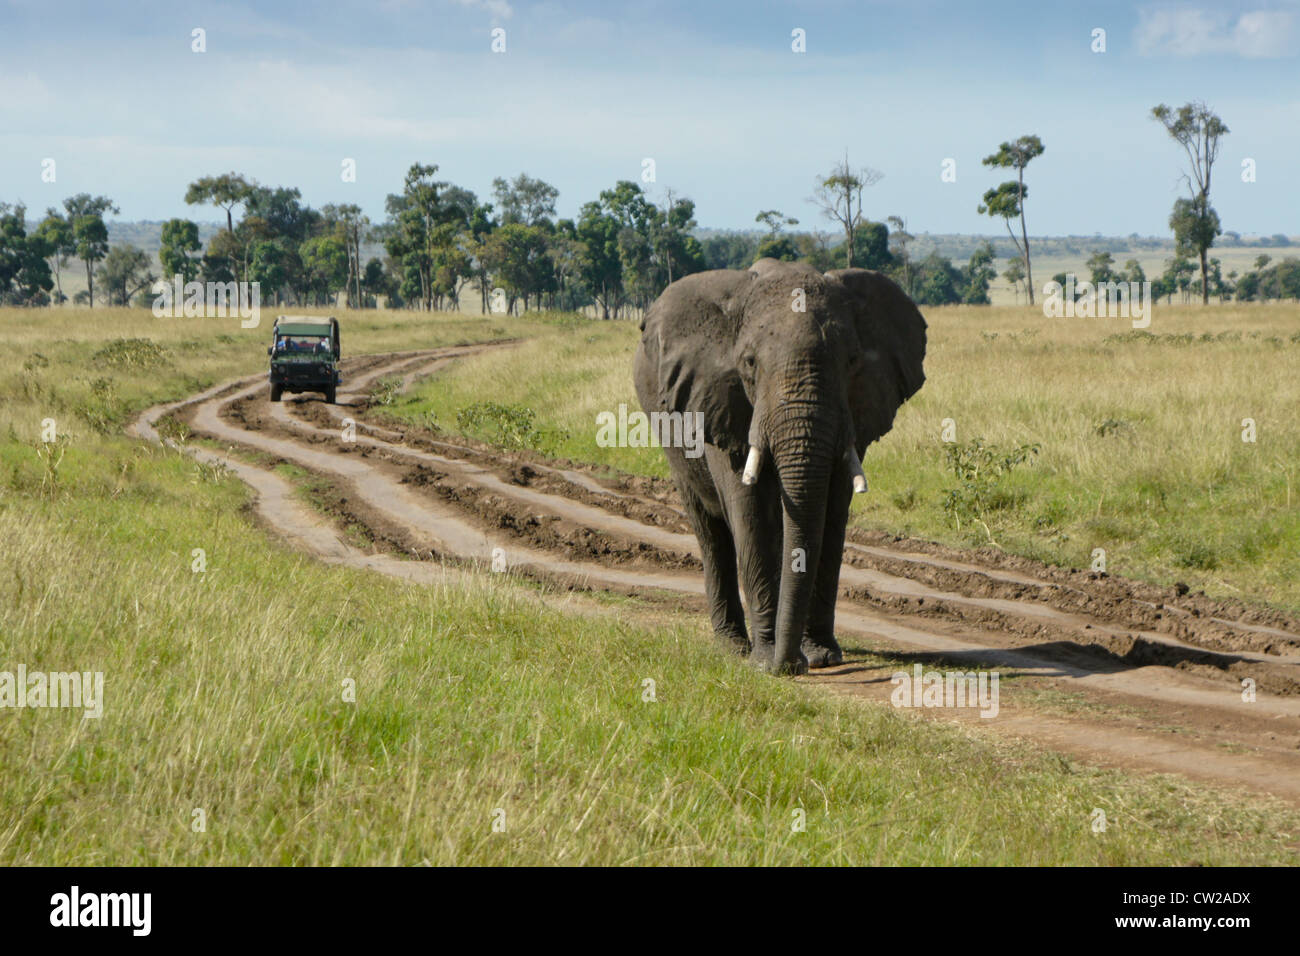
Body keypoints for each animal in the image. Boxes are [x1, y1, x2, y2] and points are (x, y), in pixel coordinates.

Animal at [633, 258, 927, 674]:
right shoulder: (722, 401)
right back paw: (732, 647)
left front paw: (823, 657)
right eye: (749, 363)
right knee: (710, 531)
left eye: (852, 361)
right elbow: (750, 511)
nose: (790, 666)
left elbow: (831, 514)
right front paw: (765, 661)